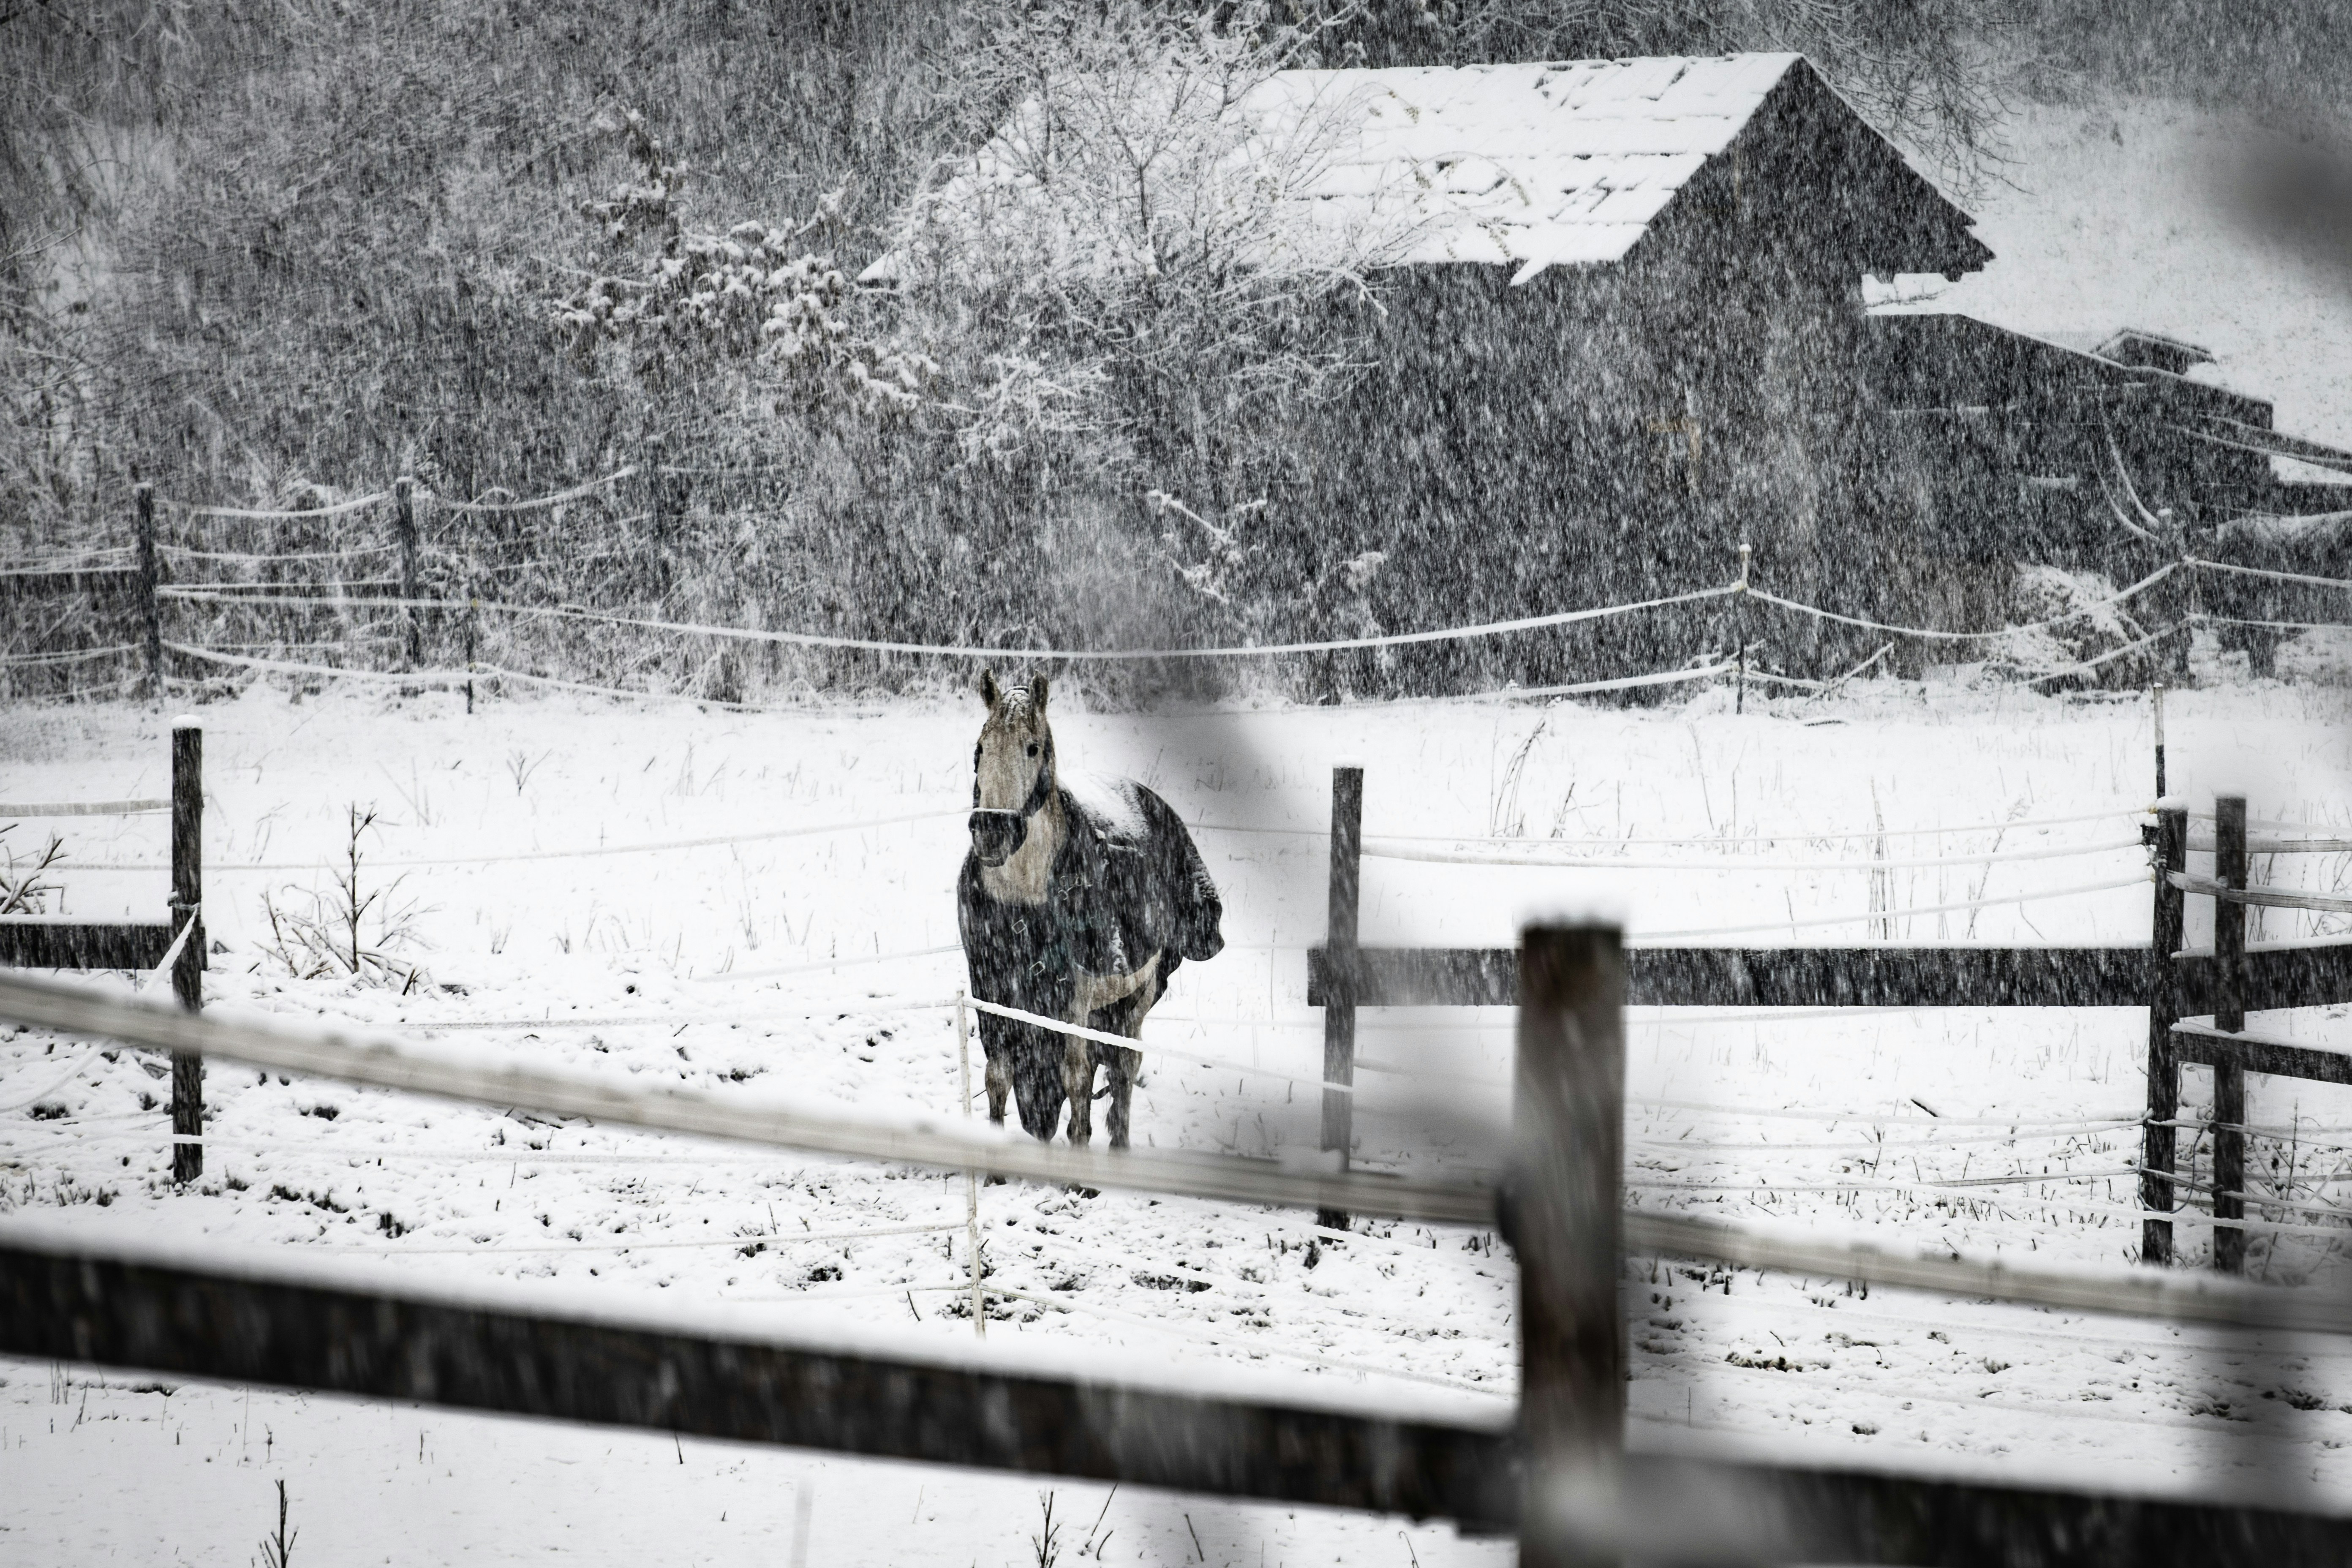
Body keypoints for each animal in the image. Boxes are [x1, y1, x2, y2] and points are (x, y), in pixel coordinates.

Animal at [957, 671, 1224, 1148]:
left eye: (1033, 747)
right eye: (980, 748)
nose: (991, 832)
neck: (1025, 896)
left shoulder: (1075, 1000)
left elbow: (1077, 1080)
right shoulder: (991, 988)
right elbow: (998, 1076)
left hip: (1138, 993)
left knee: (1123, 1067)